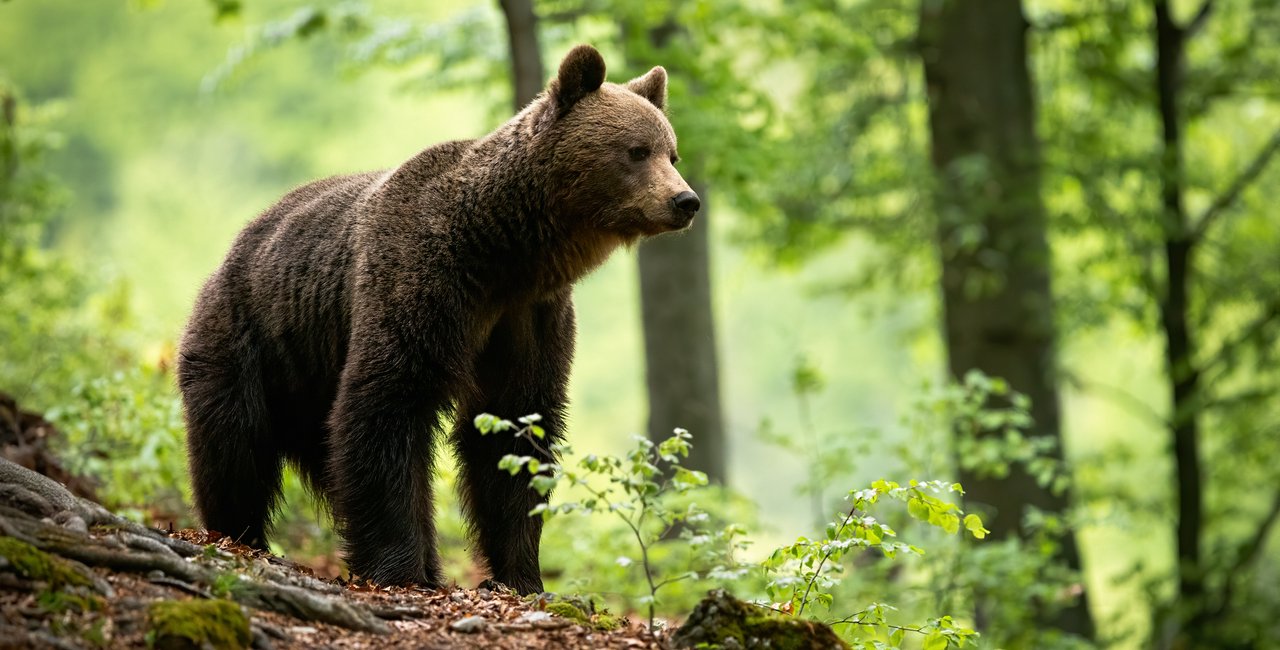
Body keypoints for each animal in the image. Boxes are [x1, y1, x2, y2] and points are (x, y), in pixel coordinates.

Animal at [176, 44, 699, 595]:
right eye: (637, 151)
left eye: (672, 153)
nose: (685, 200)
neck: (505, 253)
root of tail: (232, 250)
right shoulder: (423, 285)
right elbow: (387, 406)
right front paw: (401, 569)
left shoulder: (529, 317)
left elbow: (514, 431)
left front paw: (521, 574)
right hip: (247, 337)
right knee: (234, 443)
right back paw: (239, 533)